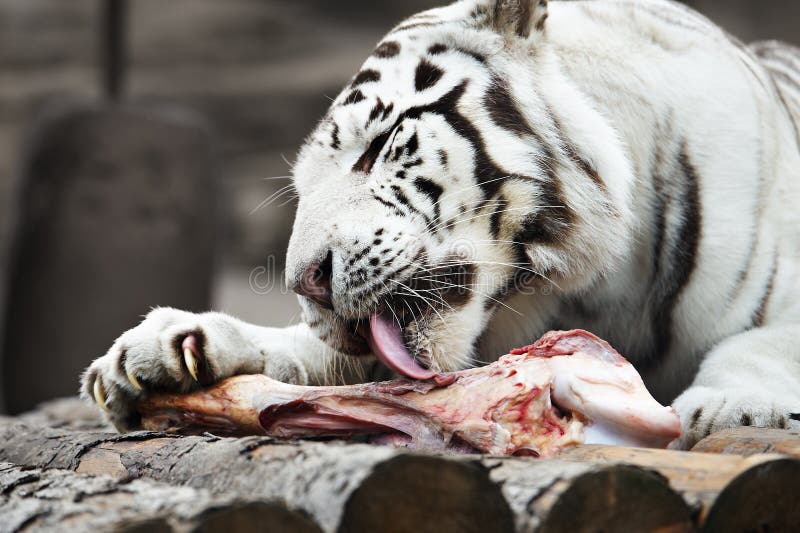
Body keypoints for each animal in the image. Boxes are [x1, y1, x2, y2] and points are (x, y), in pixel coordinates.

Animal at [82, 0, 800, 449]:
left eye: (378, 146)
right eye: (302, 187)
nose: (306, 282)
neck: (594, 286)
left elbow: (764, 342)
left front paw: (729, 404)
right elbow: (305, 352)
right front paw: (162, 351)